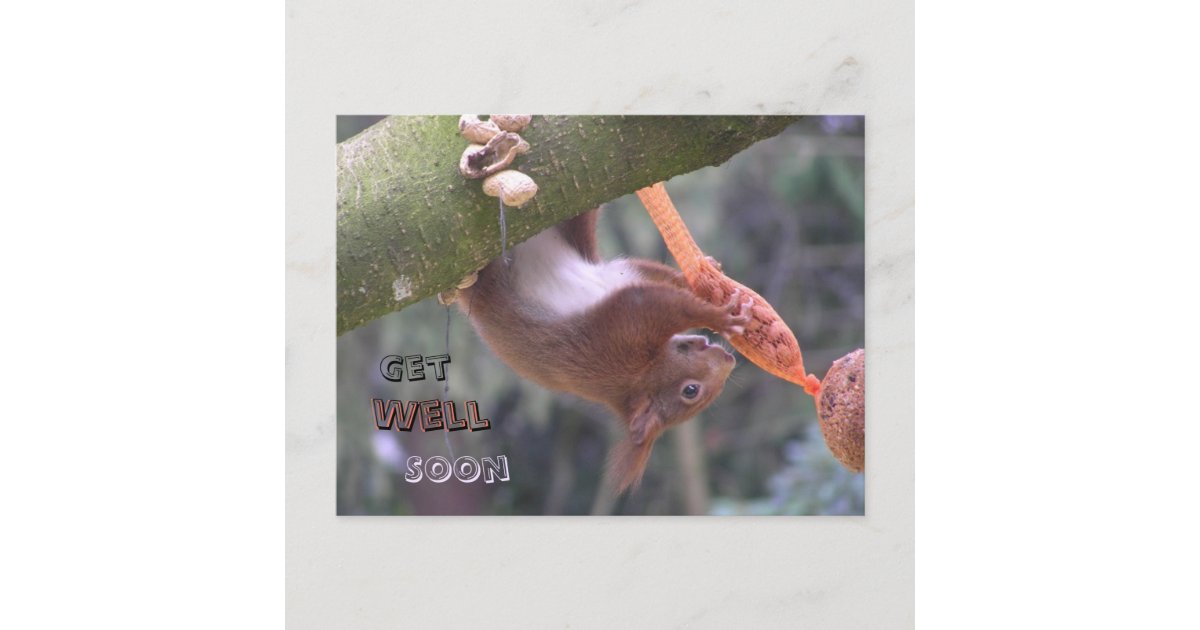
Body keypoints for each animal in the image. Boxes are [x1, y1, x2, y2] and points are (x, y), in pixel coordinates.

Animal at [458, 208, 752, 493]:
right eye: (691, 391)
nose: (728, 361)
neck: (643, 375)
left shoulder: (623, 276)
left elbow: (658, 277)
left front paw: (698, 281)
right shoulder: (624, 336)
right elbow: (665, 303)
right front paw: (721, 319)